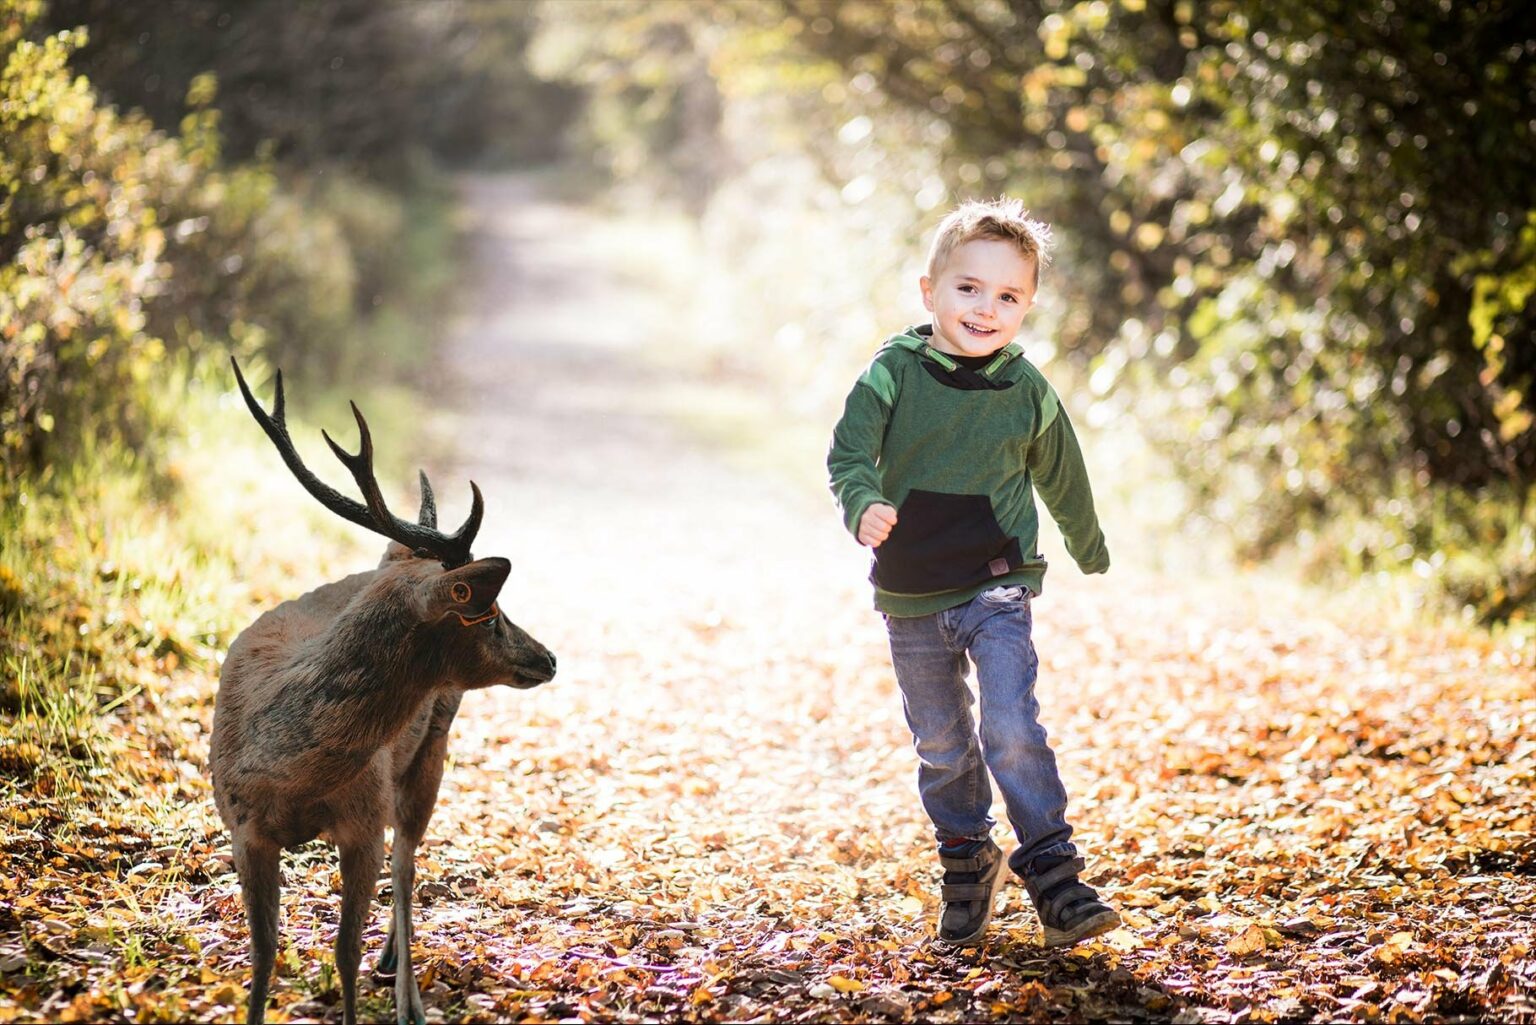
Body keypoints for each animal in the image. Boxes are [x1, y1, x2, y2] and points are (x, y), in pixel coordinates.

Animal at [210, 359, 557, 1025]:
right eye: (486, 612)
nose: (548, 657)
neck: (288, 776)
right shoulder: (243, 829)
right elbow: (261, 959)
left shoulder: (363, 824)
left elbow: (345, 950)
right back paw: (393, 963)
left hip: (434, 745)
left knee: (407, 861)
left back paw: (407, 995)